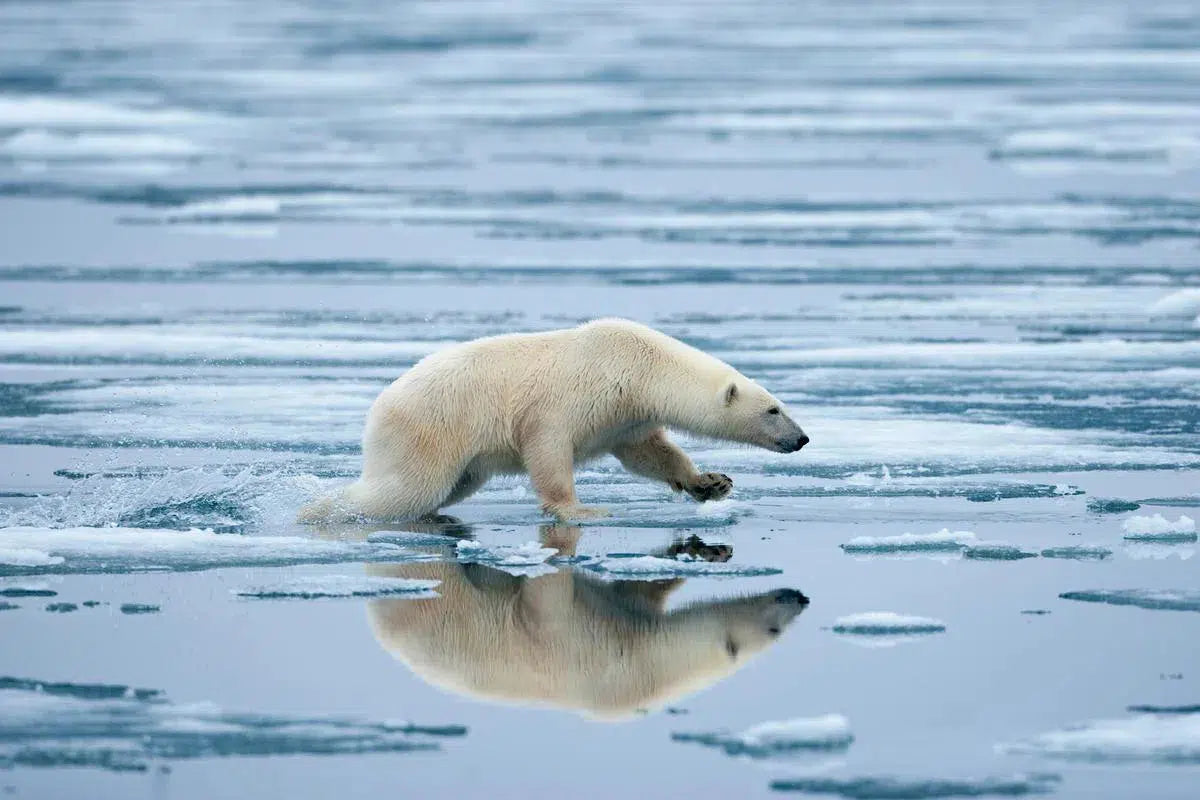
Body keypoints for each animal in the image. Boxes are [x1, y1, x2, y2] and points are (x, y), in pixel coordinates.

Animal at [297, 317, 807, 523]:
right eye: (773, 409)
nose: (802, 439)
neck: (639, 366)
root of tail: (379, 406)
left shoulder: (625, 416)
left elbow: (649, 453)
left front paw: (711, 482)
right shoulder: (574, 394)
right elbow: (547, 447)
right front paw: (581, 510)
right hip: (429, 430)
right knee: (403, 489)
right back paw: (317, 511)